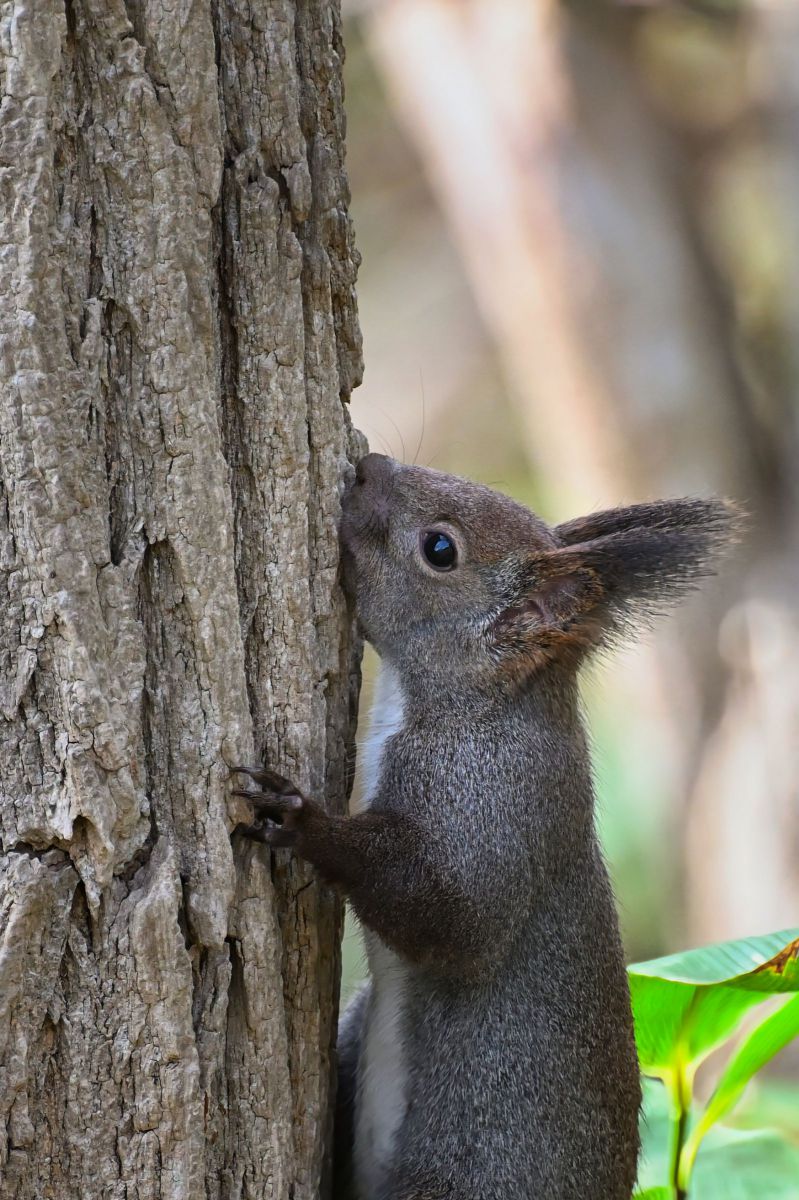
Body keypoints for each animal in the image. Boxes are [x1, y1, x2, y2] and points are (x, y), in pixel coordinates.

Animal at [232, 452, 735, 1200]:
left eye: (440, 549)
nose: (367, 464)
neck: (479, 706)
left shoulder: (494, 802)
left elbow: (456, 924)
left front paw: (304, 822)